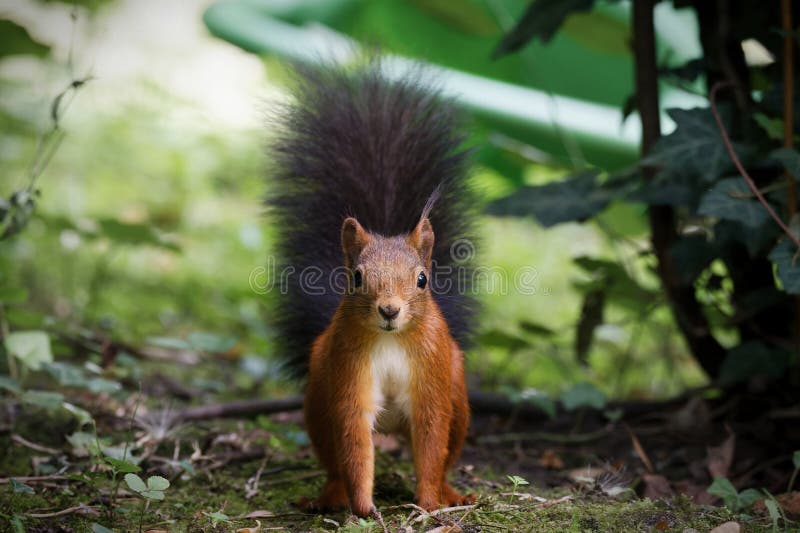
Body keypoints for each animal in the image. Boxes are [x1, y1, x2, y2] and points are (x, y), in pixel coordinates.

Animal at [266, 60, 478, 518]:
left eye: (422, 279)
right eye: (357, 277)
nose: (389, 310)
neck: (392, 341)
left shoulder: (432, 375)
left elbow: (431, 441)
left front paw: (428, 503)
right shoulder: (348, 368)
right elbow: (354, 437)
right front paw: (364, 507)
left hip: (458, 395)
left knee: (446, 453)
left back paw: (452, 494)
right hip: (317, 398)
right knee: (334, 459)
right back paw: (329, 496)